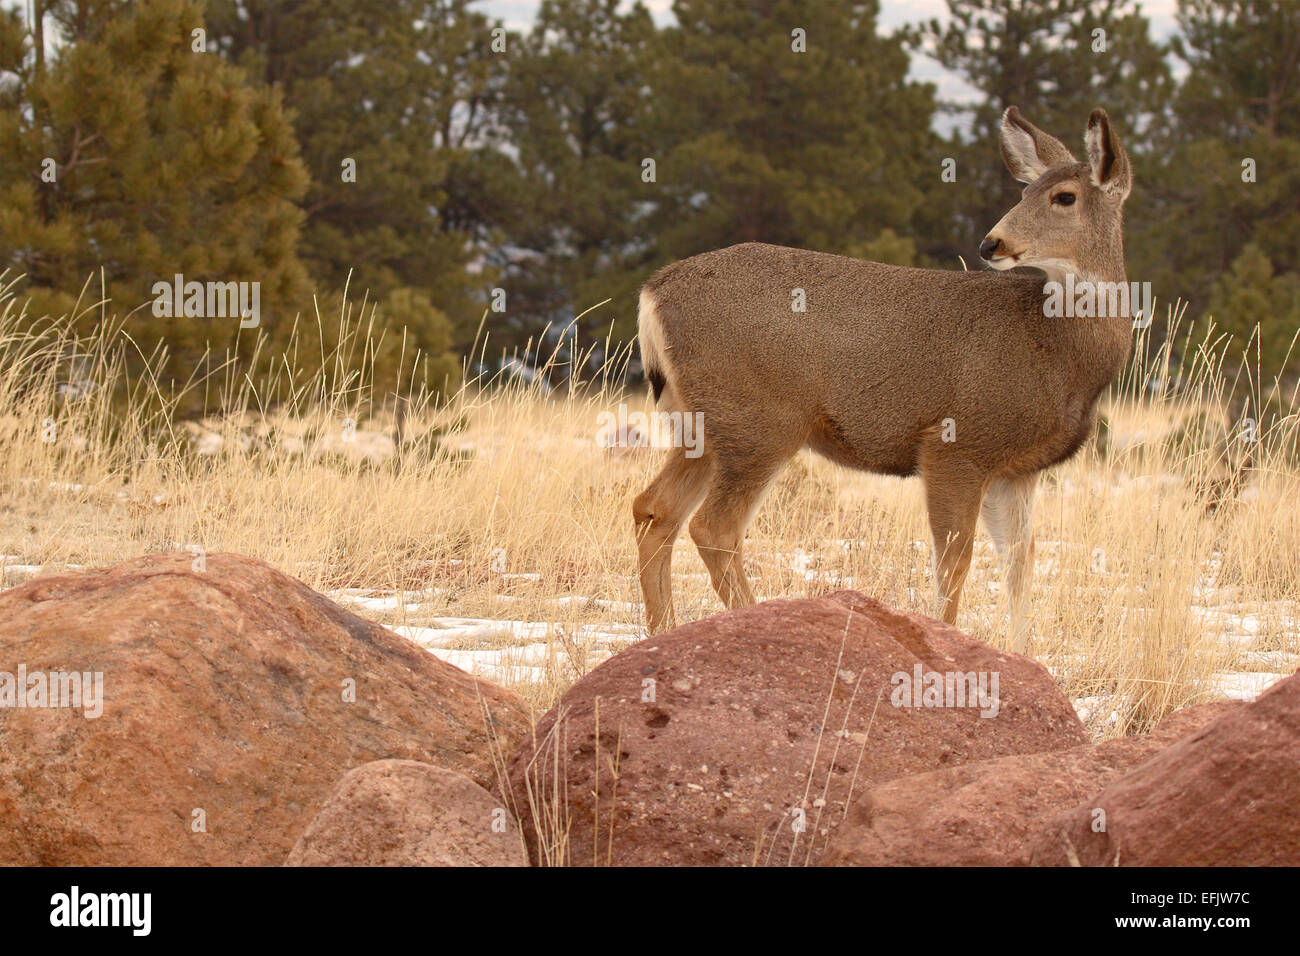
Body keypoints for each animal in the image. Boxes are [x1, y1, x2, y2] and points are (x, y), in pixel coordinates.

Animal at [632, 107, 1135, 654]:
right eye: (1024, 193)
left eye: (1063, 196)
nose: (990, 243)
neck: (1058, 351)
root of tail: (652, 291)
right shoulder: (954, 444)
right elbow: (954, 562)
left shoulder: (1017, 469)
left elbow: (1020, 563)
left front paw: (1021, 658)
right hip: (760, 420)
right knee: (713, 526)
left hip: (702, 421)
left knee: (654, 508)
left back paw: (662, 635)